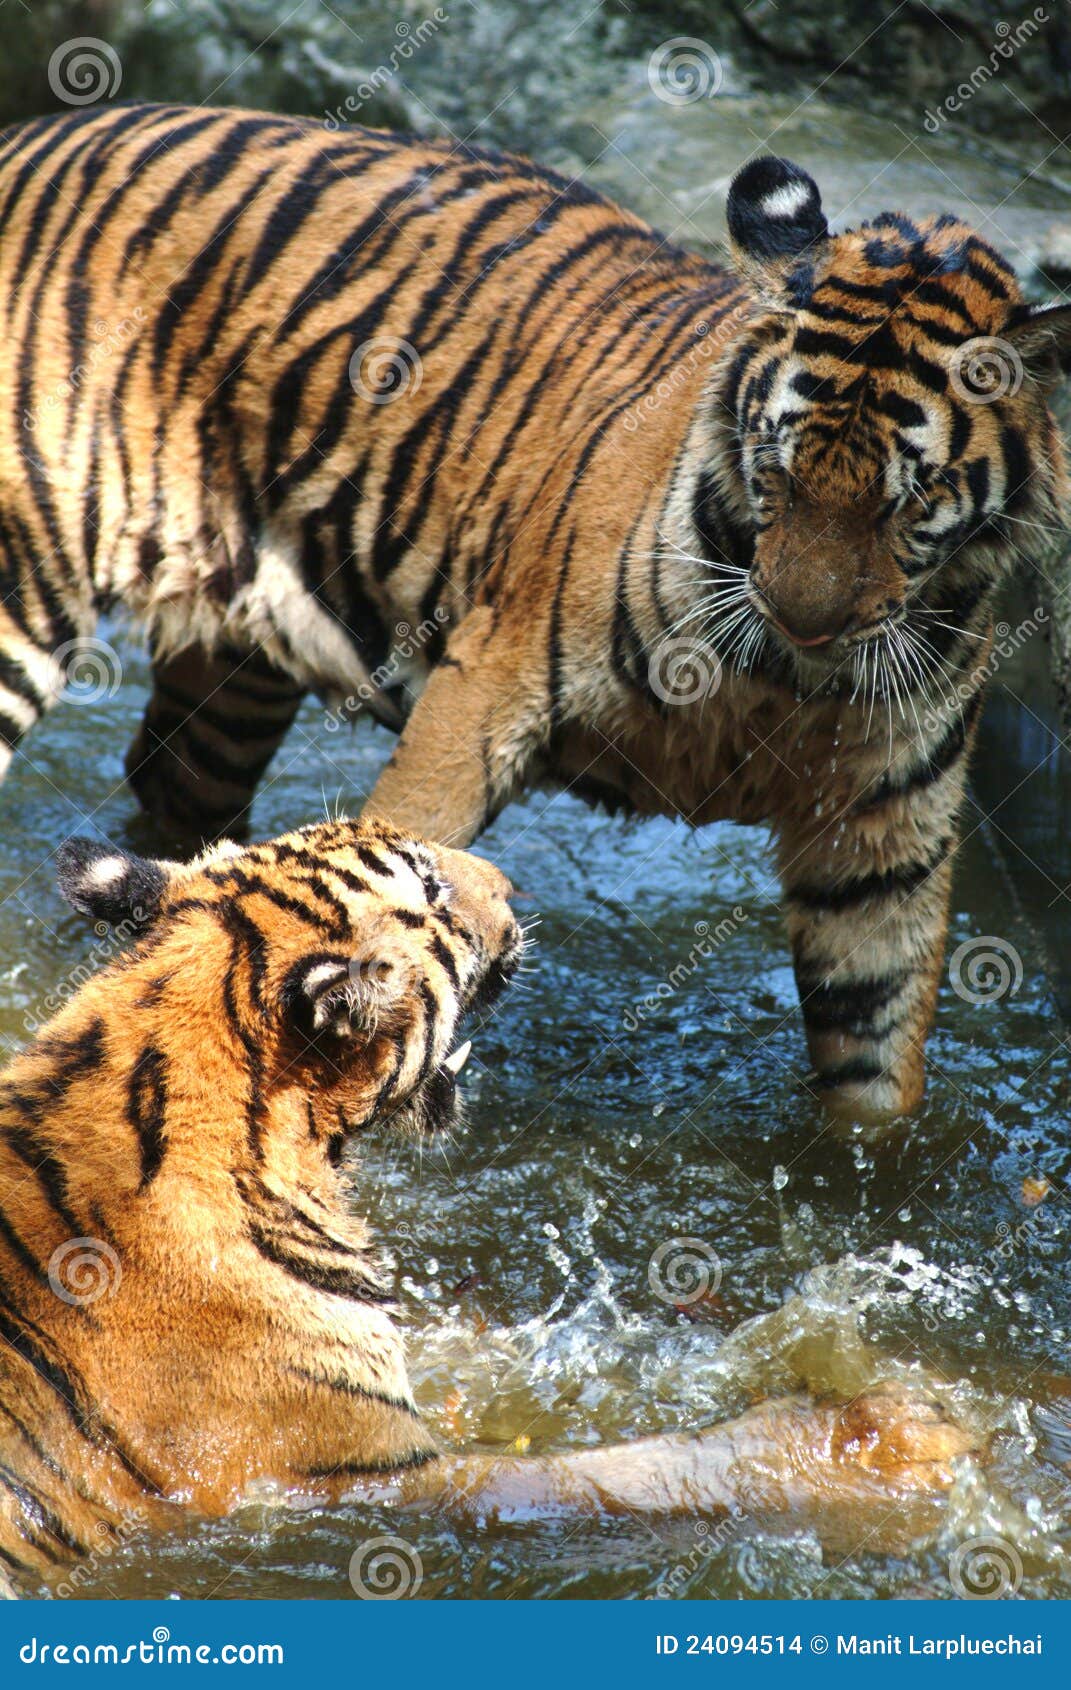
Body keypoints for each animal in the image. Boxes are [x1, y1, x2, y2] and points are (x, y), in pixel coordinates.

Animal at [0, 105, 1068, 1119]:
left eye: (904, 499)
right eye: (778, 467)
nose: (804, 619)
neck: (790, 679)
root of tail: (35, 134)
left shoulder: (878, 841)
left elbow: (876, 1073)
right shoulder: (480, 697)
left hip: (234, 677)